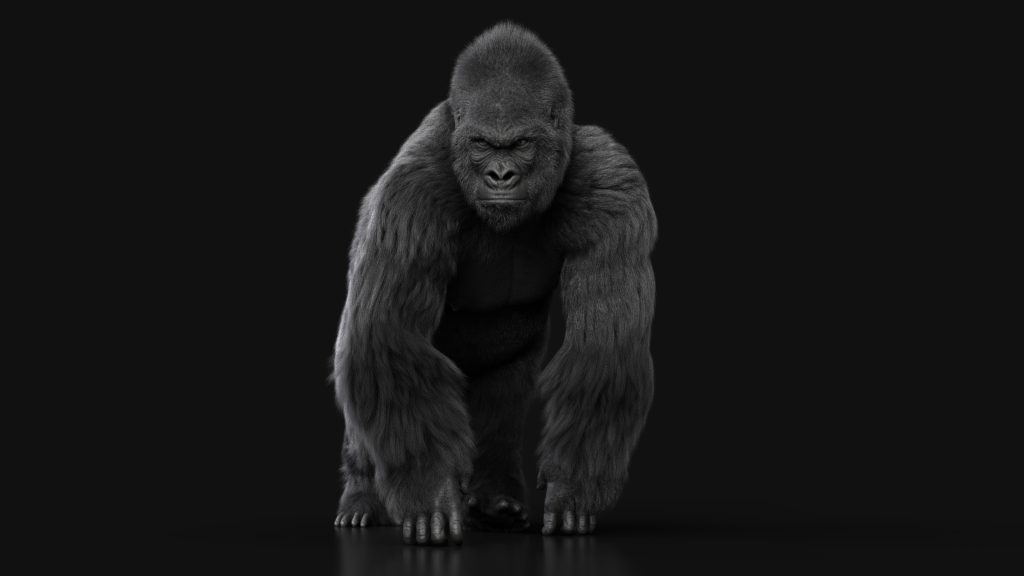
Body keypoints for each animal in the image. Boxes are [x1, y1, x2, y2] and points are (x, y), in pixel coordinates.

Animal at [333, 22, 656, 546]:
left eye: (520, 144)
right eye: (483, 144)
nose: (500, 175)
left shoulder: (611, 182)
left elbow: (603, 351)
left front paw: (572, 486)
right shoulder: (411, 194)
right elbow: (388, 340)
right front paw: (431, 490)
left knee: (502, 400)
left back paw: (493, 499)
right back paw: (361, 496)